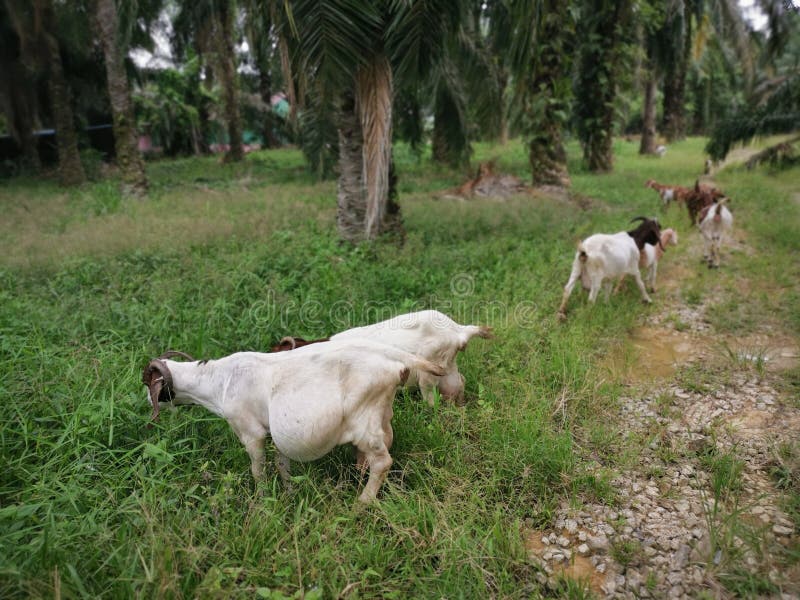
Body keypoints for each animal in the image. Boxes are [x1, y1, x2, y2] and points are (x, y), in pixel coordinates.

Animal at [142, 341, 445, 503]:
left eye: (148, 383)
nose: (147, 400)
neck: (219, 380)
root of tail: (395, 359)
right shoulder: (275, 435)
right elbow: (282, 464)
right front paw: (289, 492)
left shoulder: (250, 431)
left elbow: (258, 470)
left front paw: (263, 501)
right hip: (382, 415)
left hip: (365, 421)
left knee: (382, 462)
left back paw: (362, 503)